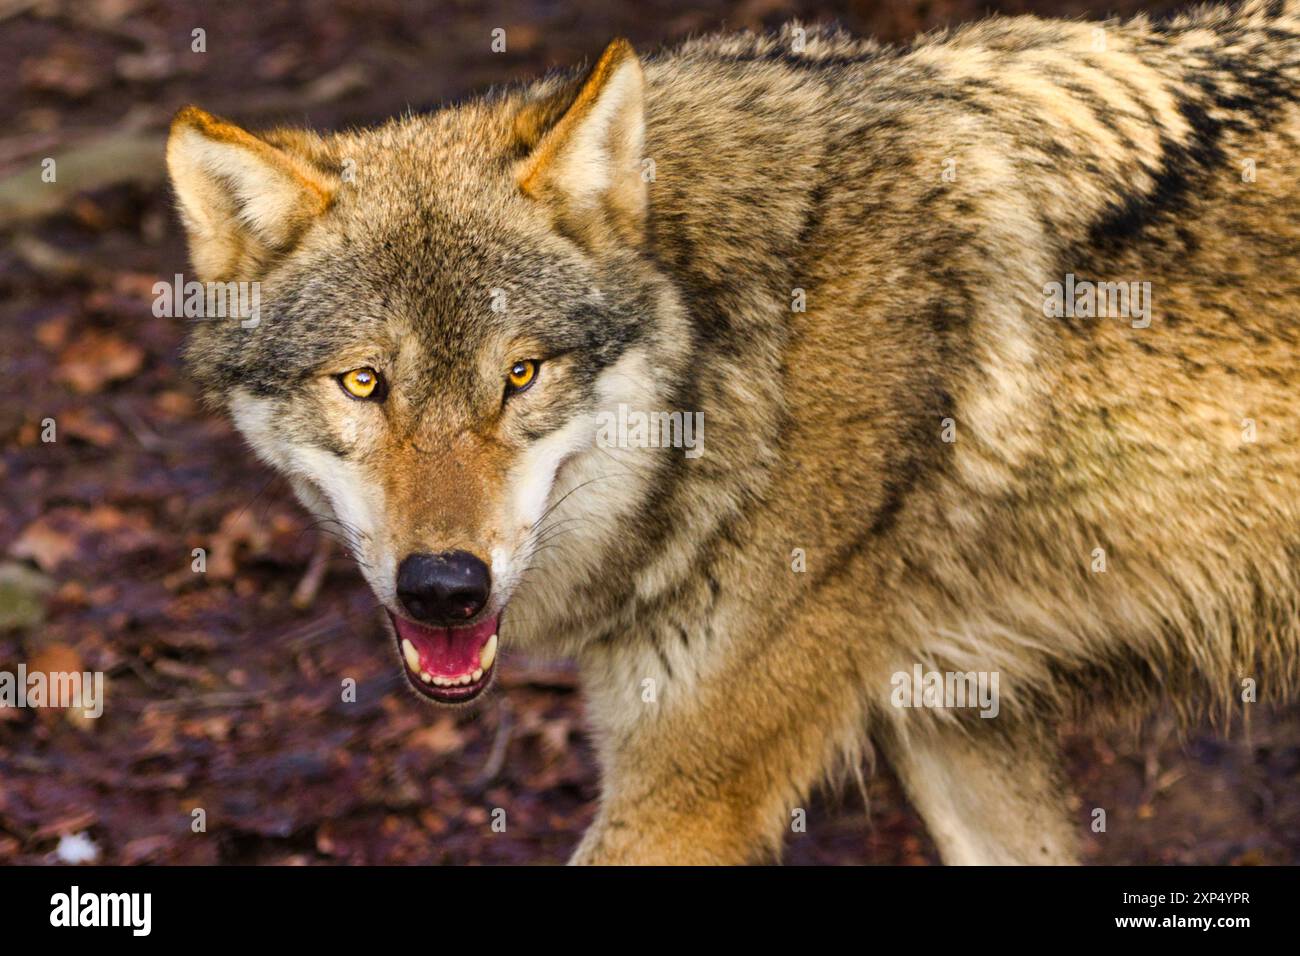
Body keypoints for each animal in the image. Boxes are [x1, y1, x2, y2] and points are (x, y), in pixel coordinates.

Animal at [166, 0, 1300, 863]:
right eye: (364, 383)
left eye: (521, 375)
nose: (445, 586)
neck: (743, 369)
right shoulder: (956, 725)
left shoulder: (690, 791)